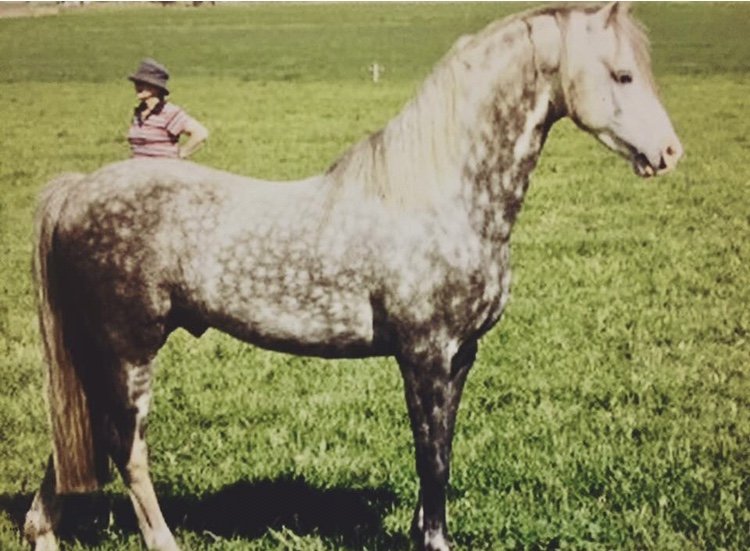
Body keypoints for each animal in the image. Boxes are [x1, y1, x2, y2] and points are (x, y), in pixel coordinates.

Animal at [24, 3, 682, 550]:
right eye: (623, 75)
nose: (670, 153)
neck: (441, 197)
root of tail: (77, 190)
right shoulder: (424, 355)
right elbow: (430, 456)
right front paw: (434, 541)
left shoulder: (460, 355)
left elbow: (442, 446)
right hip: (130, 352)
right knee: (126, 448)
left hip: (97, 355)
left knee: (76, 439)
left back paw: (41, 532)